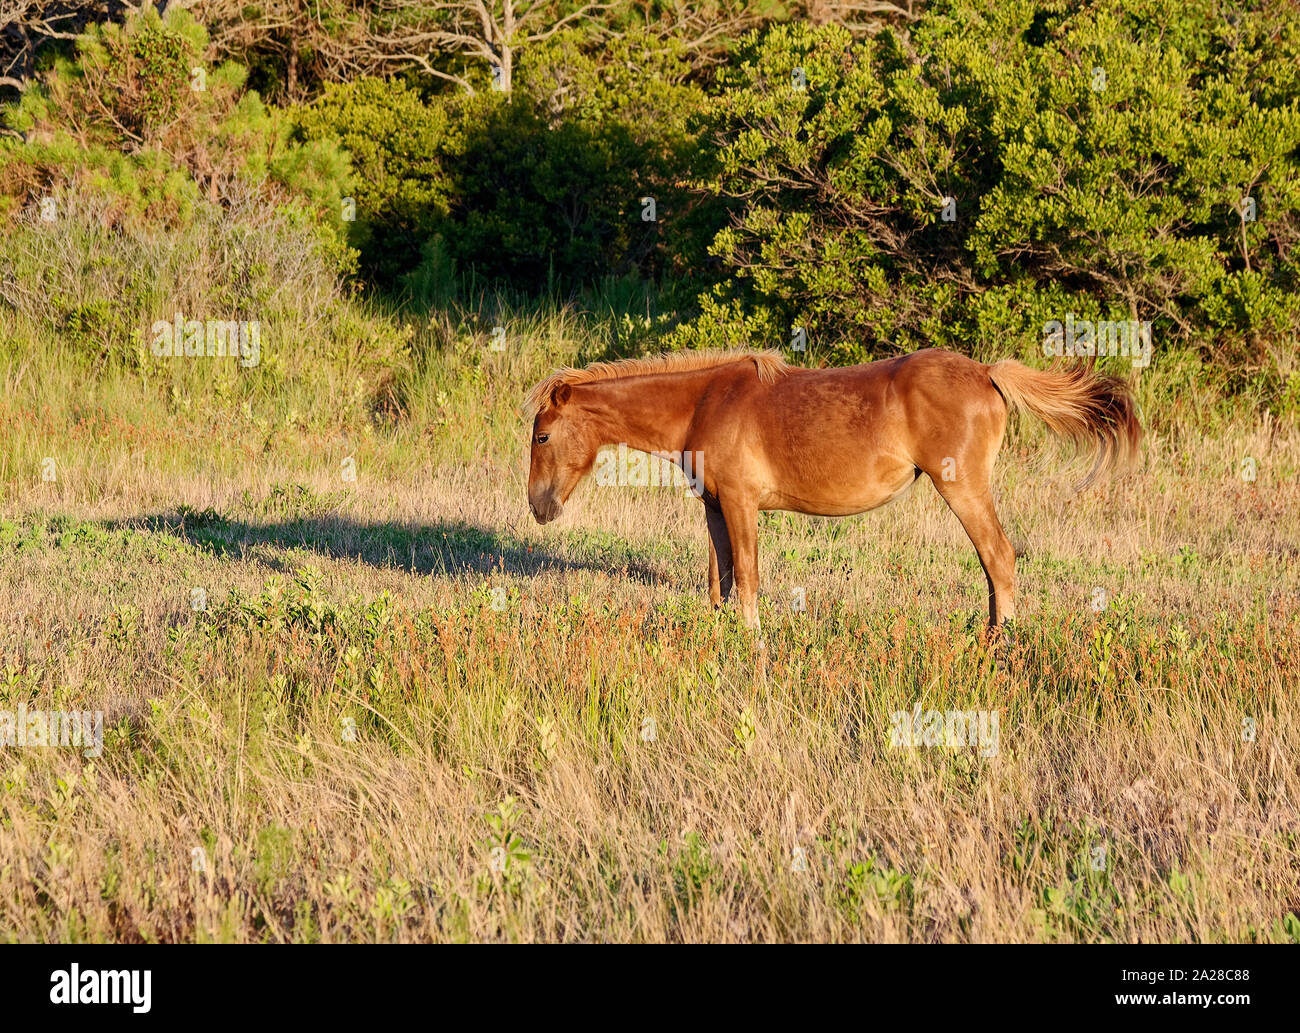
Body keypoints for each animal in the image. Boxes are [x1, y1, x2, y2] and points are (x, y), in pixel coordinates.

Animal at [525, 348, 1141, 630]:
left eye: (543, 434)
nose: (538, 506)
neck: (705, 402)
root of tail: (988, 372)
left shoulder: (743, 506)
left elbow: (747, 579)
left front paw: (751, 641)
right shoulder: (716, 508)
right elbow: (720, 580)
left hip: (962, 488)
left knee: (1000, 558)